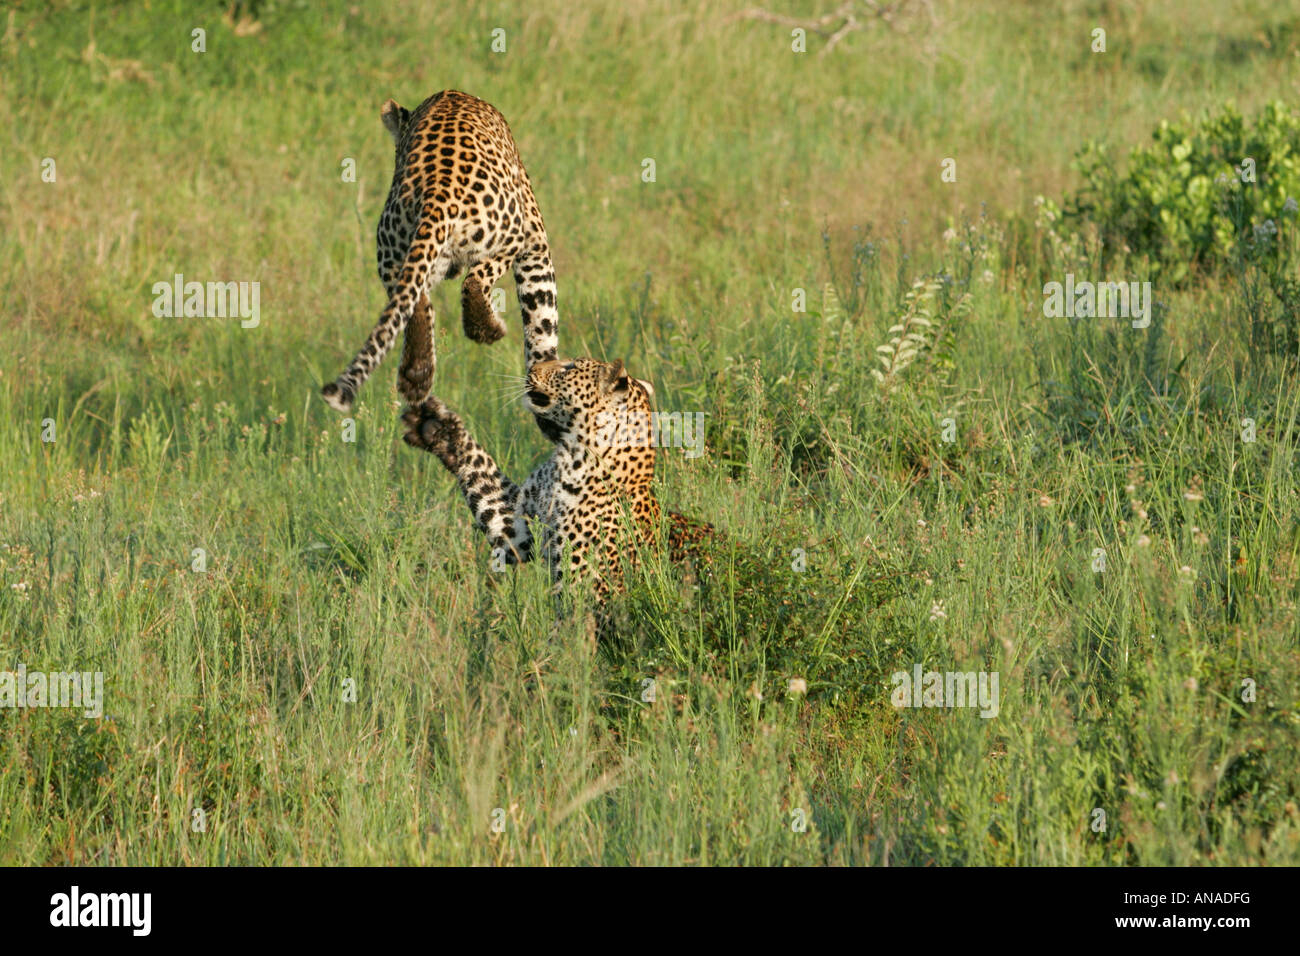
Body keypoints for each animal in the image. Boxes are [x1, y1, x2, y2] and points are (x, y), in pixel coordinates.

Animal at [322, 90, 560, 415]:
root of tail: (438, 191)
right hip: (514, 232)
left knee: (417, 303)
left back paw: (416, 379)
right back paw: (487, 330)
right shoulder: (535, 241)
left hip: (395, 253)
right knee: (475, 280)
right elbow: (541, 316)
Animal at [401, 358, 712, 609]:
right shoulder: (516, 529)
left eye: (569, 367)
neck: (572, 455)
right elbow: (480, 470)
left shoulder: (585, 585)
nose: (531, 368)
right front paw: (435, 426)